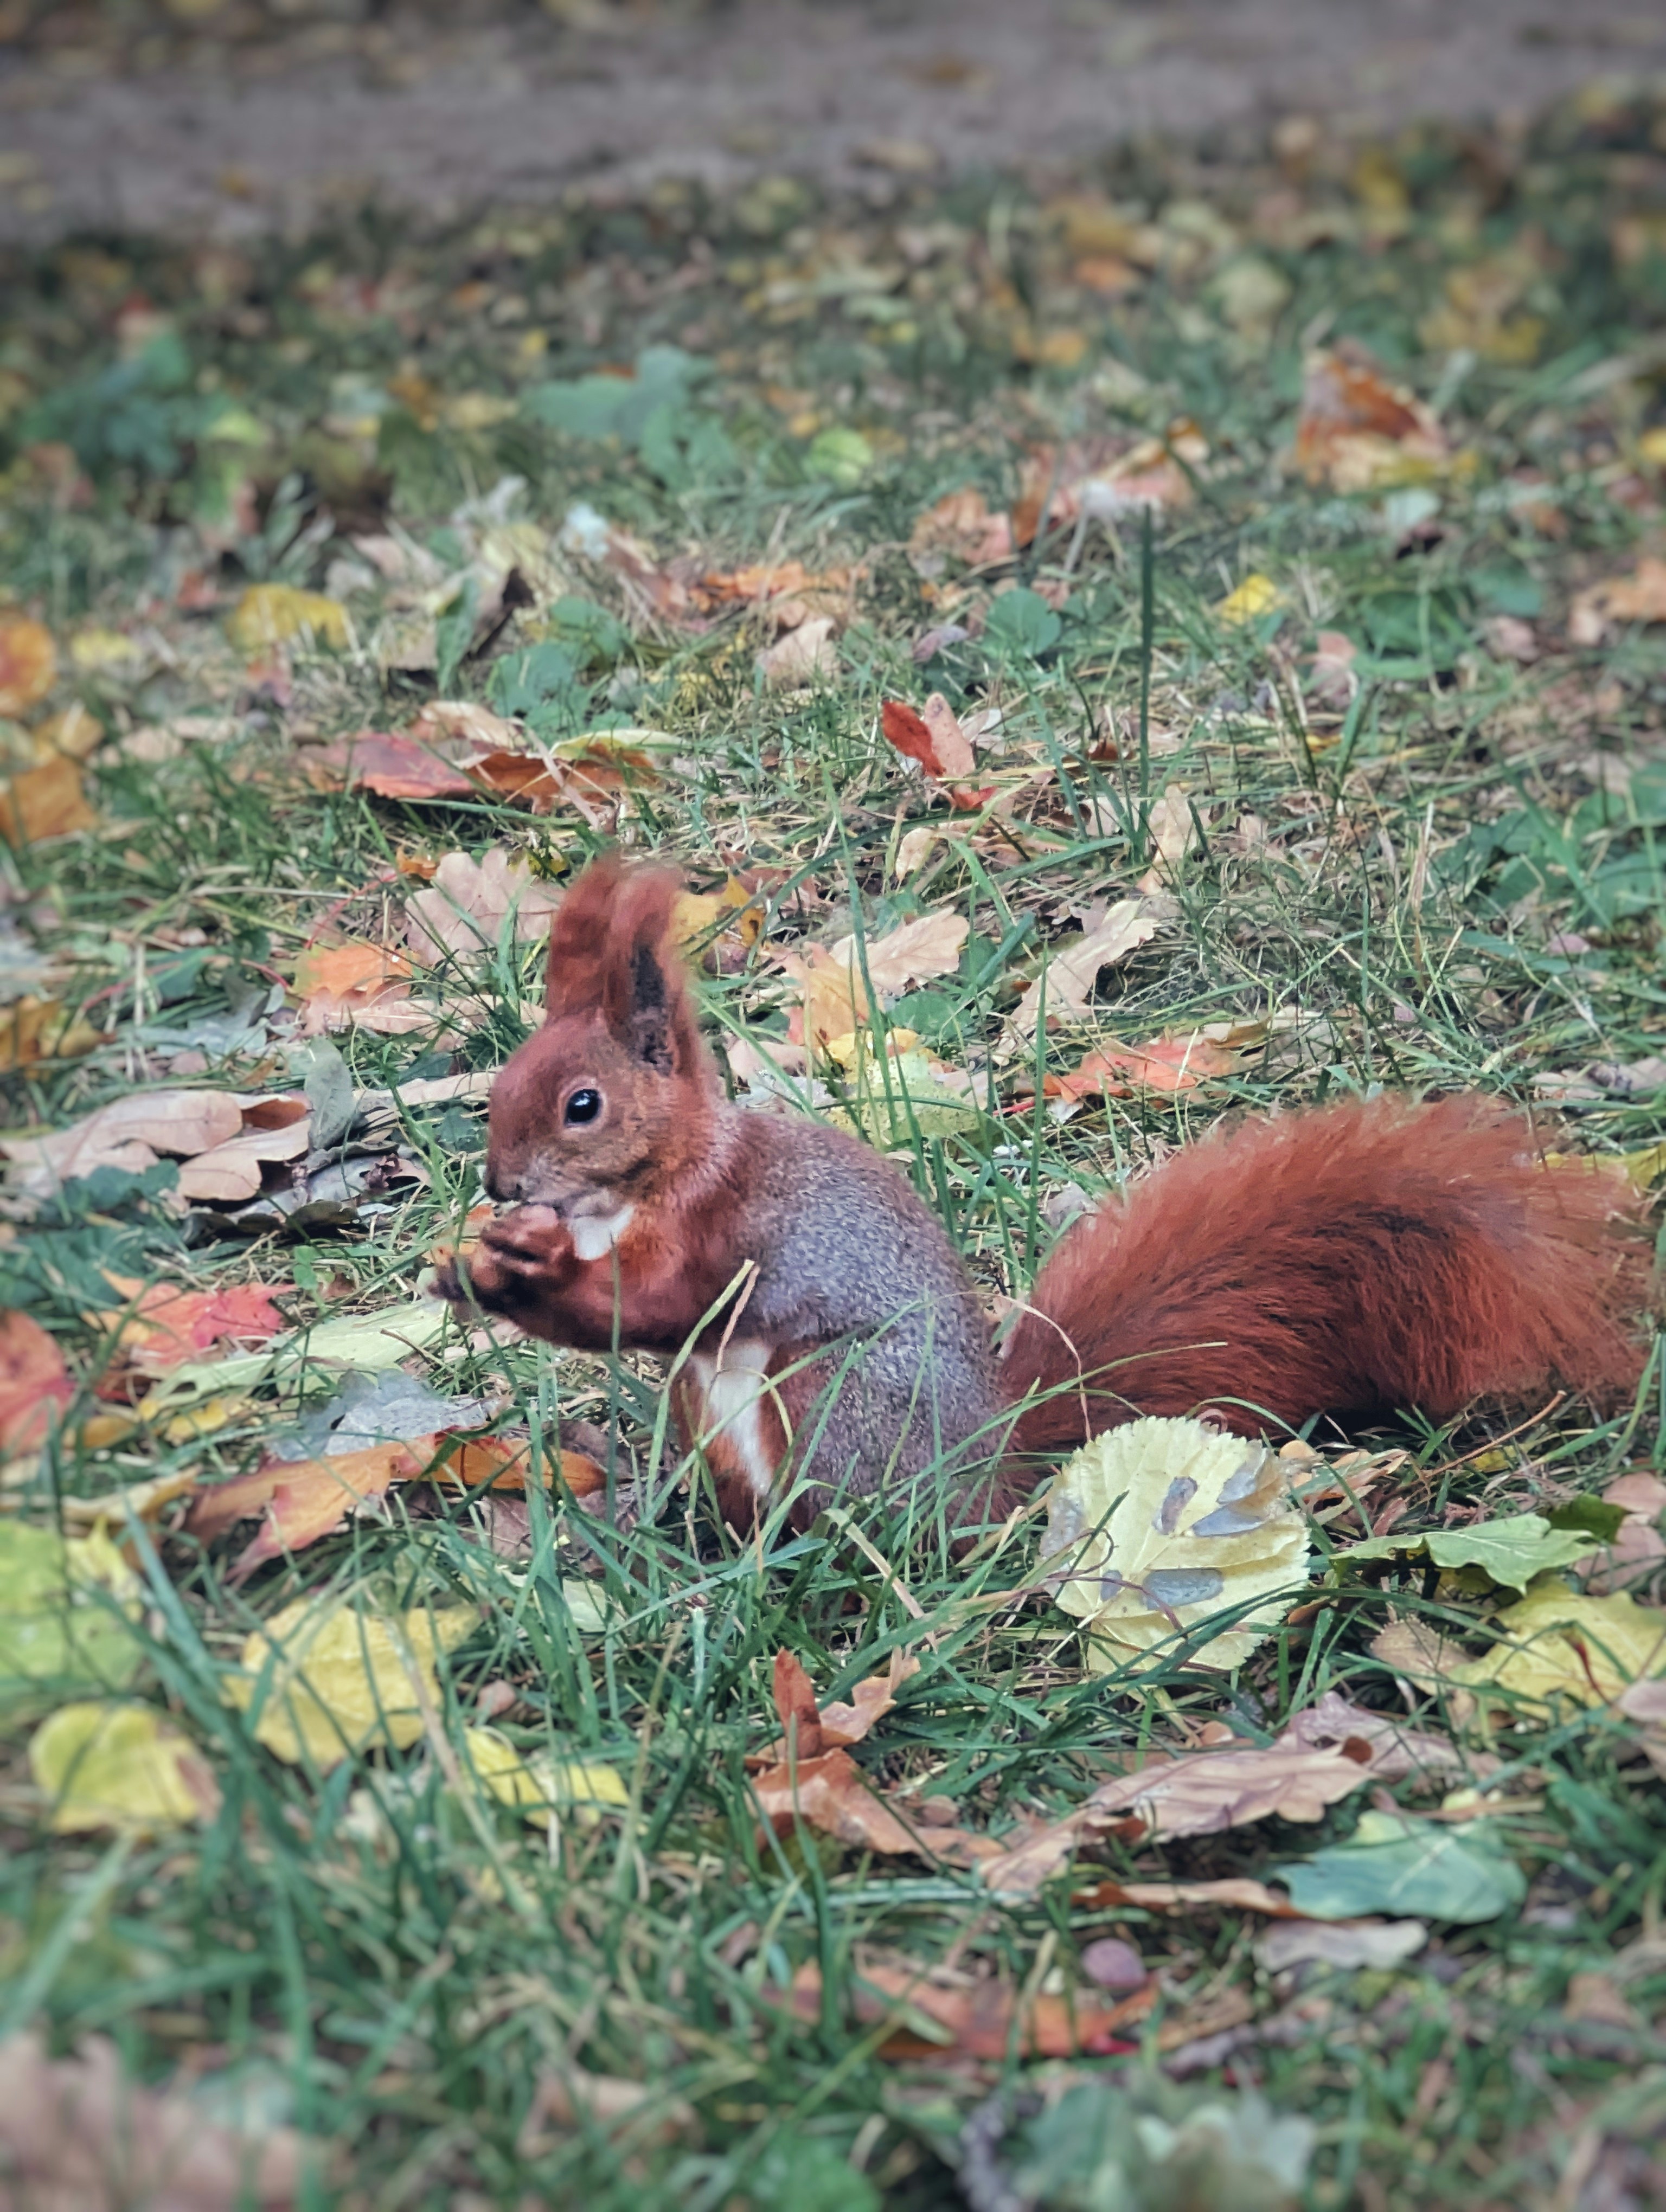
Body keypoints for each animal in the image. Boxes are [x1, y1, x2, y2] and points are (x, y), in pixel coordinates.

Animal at [435, 854, 1649, 1535]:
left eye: (582, 1104)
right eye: (503, 1085)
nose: (500, 1182)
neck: (643, 1184)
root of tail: (993, 1468)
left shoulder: (731, 1223)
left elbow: (657, 1300)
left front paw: (520, 1277)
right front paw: (480, 1263)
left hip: (830, 1397)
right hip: (708, 1412)